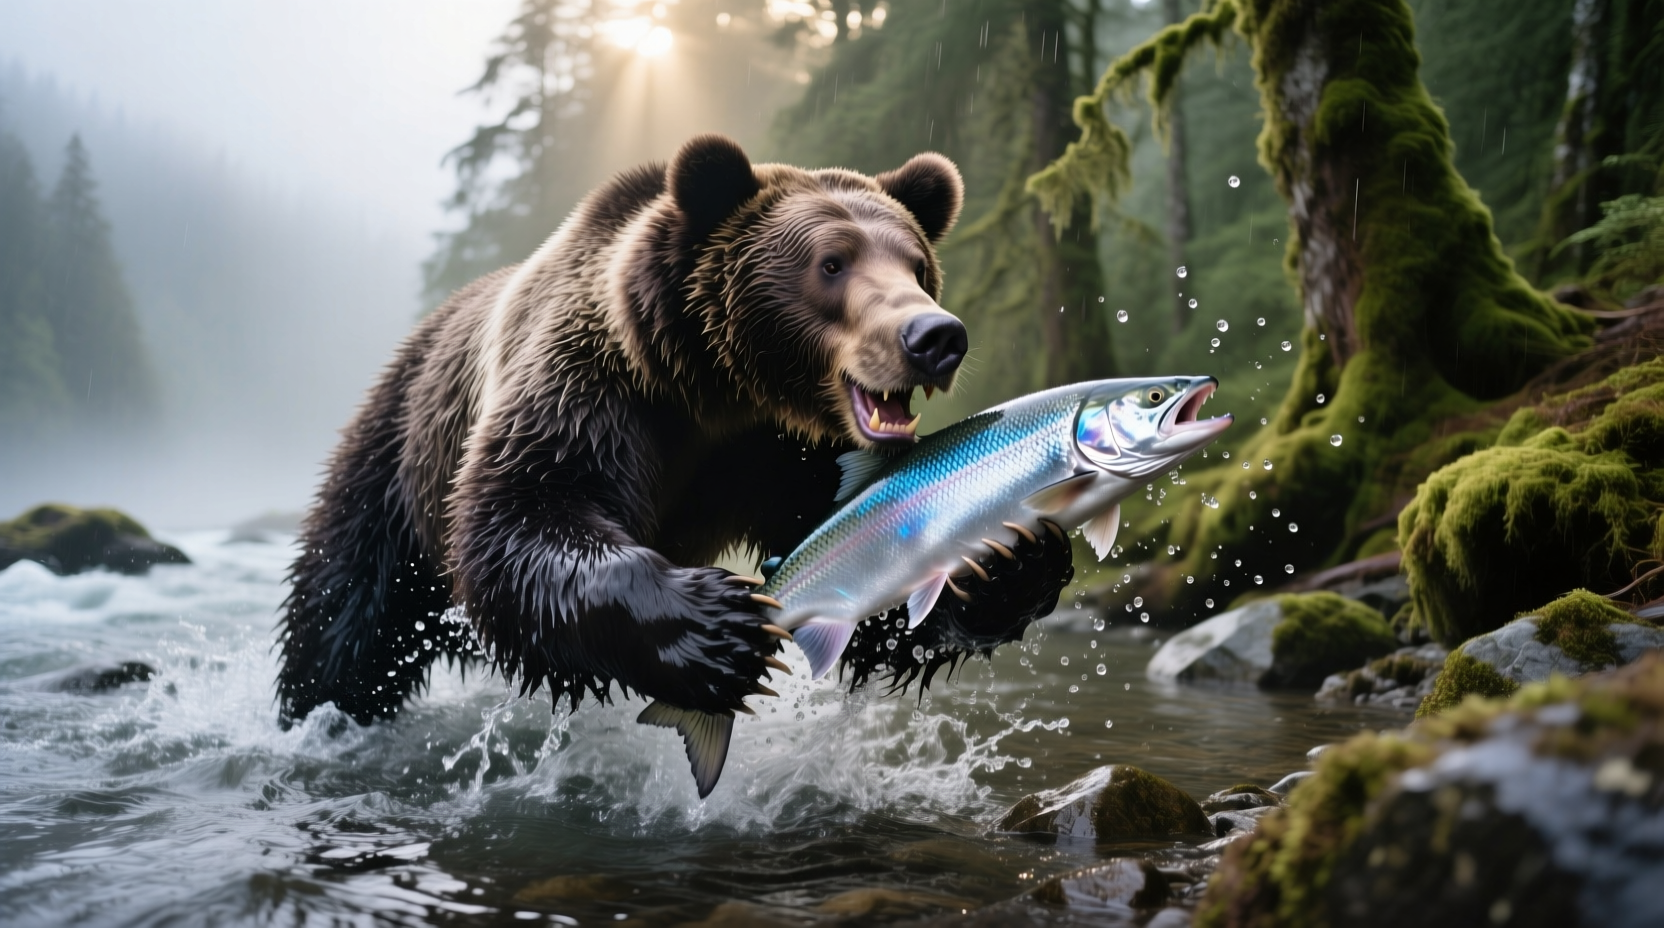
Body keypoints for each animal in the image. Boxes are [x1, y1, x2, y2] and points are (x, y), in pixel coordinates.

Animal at [276, 134, 1073, 795]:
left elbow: (858, 577)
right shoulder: (594, 392)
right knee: (343, 623)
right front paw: (716, 627)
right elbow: (524, 512)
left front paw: (1010, 562)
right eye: (832, 261)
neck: (717, 388)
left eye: (916, 265)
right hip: (394, 460)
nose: (935, 336)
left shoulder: (784, 457)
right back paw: (318, 718)